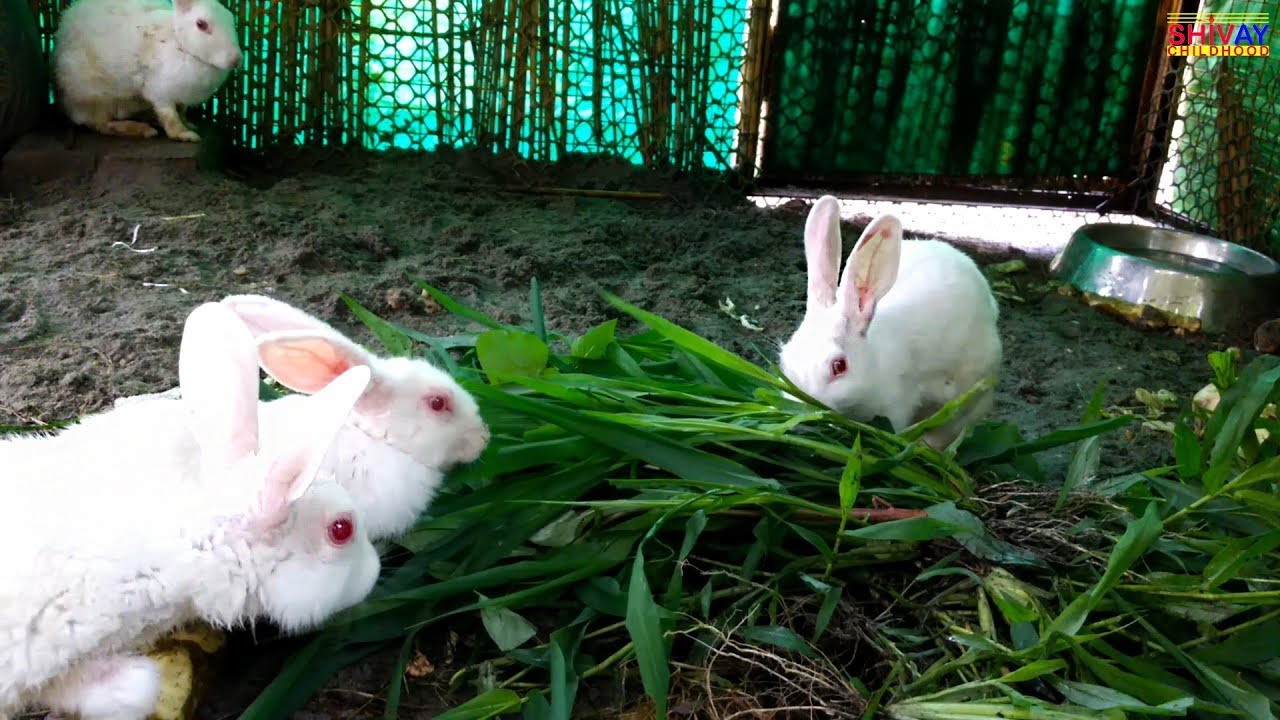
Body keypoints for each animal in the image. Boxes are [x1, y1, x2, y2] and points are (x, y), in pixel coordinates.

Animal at [51, 0, 243, 143]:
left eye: (231, 19)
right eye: (201, 24)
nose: (237, 59)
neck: (181, 45)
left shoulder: (182, 100)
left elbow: (181, 111)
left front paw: (189, 124)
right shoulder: (160, 93)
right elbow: (170, 116)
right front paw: (185, 134)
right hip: (96, 97)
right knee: (101, 125)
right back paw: (142, 129)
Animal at [778, 196, 1003, 451]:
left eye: (839, 366)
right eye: (785, 361)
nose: (796, 415)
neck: (874, 362)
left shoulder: (896, 407)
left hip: (970, 393)